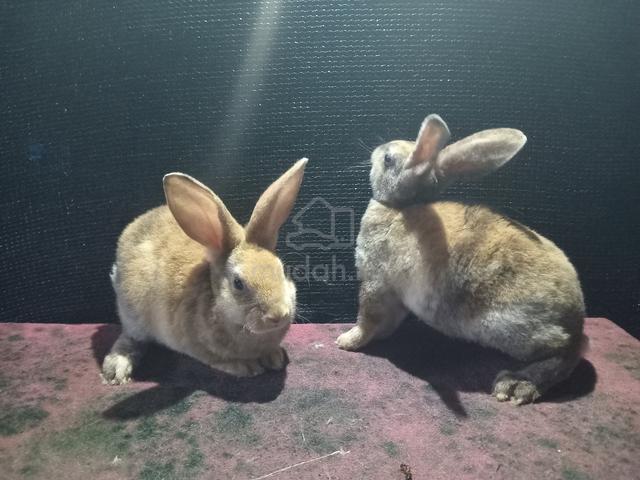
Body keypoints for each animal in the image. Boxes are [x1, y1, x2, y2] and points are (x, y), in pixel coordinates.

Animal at [102, 158, 308, 384]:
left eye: (283, 270)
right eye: (238, 283)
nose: (278, 314)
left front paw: (275, 358)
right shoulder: (195, 346)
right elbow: (217, 360)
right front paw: (246, 367)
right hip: (132, 313)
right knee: (131, 337)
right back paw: (116, 369)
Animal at [336, 114, 586, 405]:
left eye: (388, 159)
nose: (377, 150)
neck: (399, 207)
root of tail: (576, 315)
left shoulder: (375, 284)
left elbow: (367, 319)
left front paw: (346, 341)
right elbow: (388, 322)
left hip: (507, 325)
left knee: (564, 354)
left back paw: (516, 384)